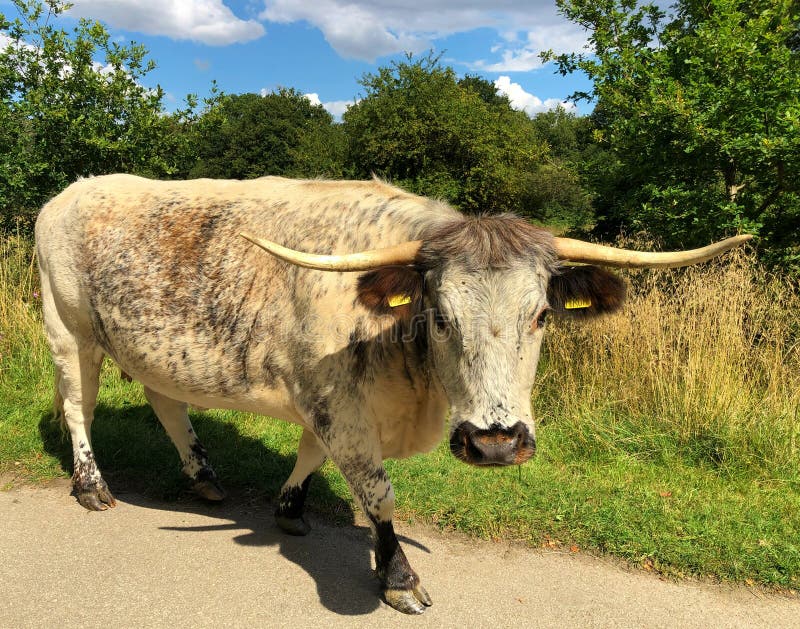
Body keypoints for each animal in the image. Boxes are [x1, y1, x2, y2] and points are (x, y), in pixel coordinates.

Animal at [35, 174, 750, 614]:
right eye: (440, 316)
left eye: (543, 314)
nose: (495, 443)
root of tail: (71, 193)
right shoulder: (338, 405)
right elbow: (377, 492)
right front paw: (399, 576)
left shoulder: (328, 405)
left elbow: (310, 457)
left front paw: (291, 509)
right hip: (67, 327)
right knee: (77, 406)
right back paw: (92, 486)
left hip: (149, 349)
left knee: (167, 402)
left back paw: (203, 475)